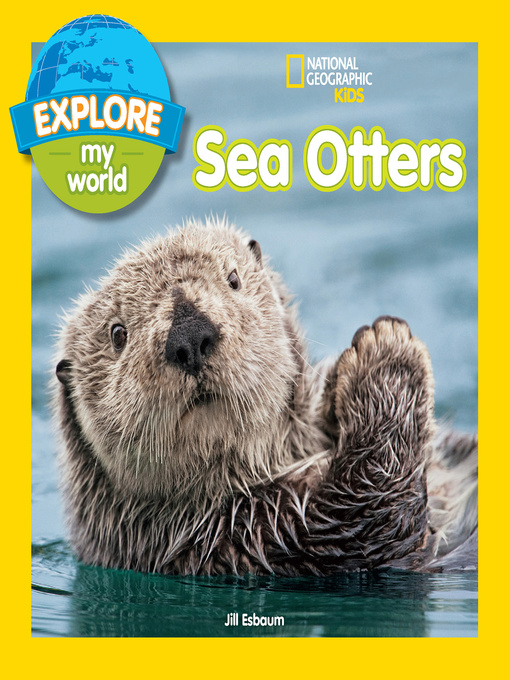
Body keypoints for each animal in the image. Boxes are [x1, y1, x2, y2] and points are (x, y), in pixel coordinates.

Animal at [54, 217, 477, 576]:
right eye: (117, 334)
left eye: (233, 279)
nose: (188, 335)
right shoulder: (270, 542)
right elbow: (378, 512)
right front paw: (386, 347)